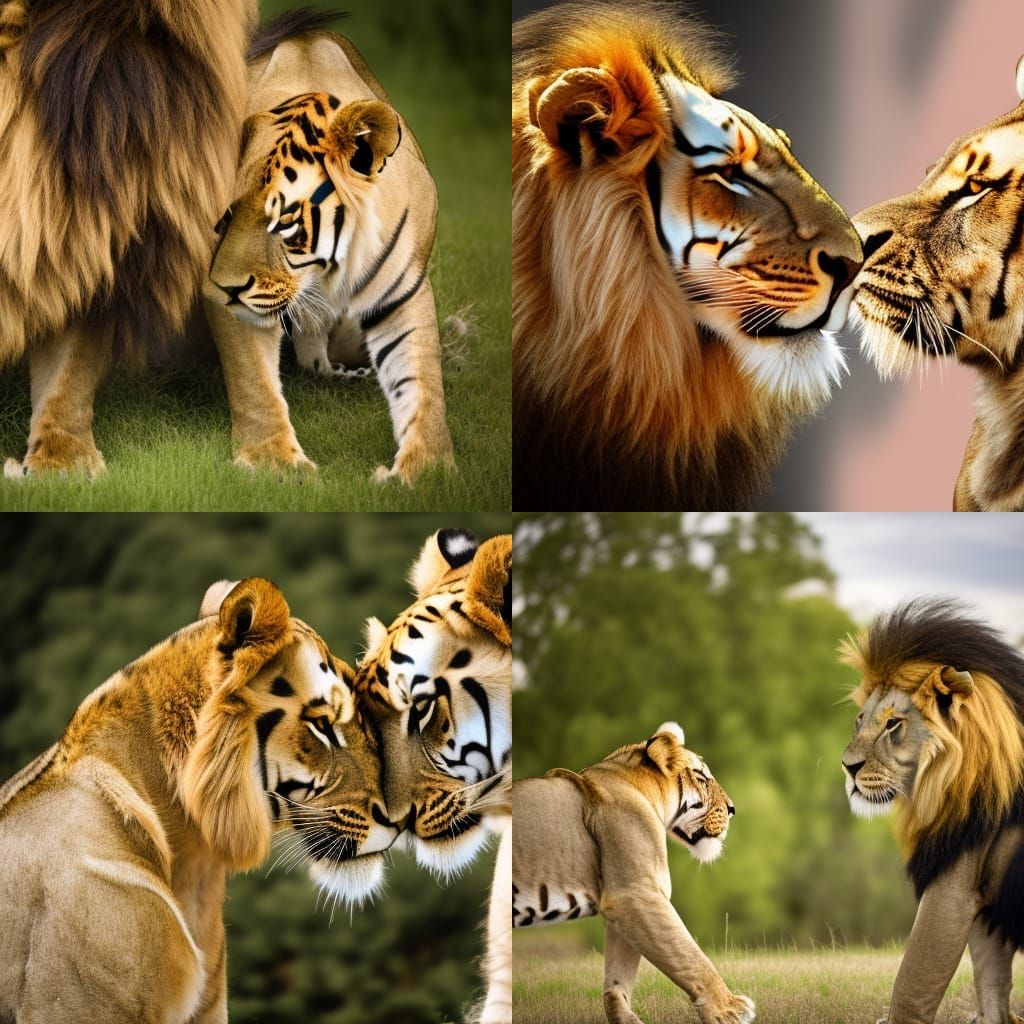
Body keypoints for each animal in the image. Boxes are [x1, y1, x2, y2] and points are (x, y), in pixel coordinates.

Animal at [202, 10, 454, 483]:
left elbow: (421, 377)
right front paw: (274, 464)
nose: (224, 287)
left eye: (284, 220)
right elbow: (253, 382)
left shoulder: (403, 289)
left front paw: (426, 469)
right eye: (225, 215)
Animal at [513, 722, 754, 1024]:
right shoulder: (636, 894)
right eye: (701, 778)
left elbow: (618, 978)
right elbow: (691, 956)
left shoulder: (625, 898)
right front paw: (730, 1011)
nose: (733, 809)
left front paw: (626, 1018)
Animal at [841, 598, 1024, 1024]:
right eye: (861, 719)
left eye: (893, 724)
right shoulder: (979, 890)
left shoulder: (953, 888)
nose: (848, 767)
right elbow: (992, 983)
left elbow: (914, 979)